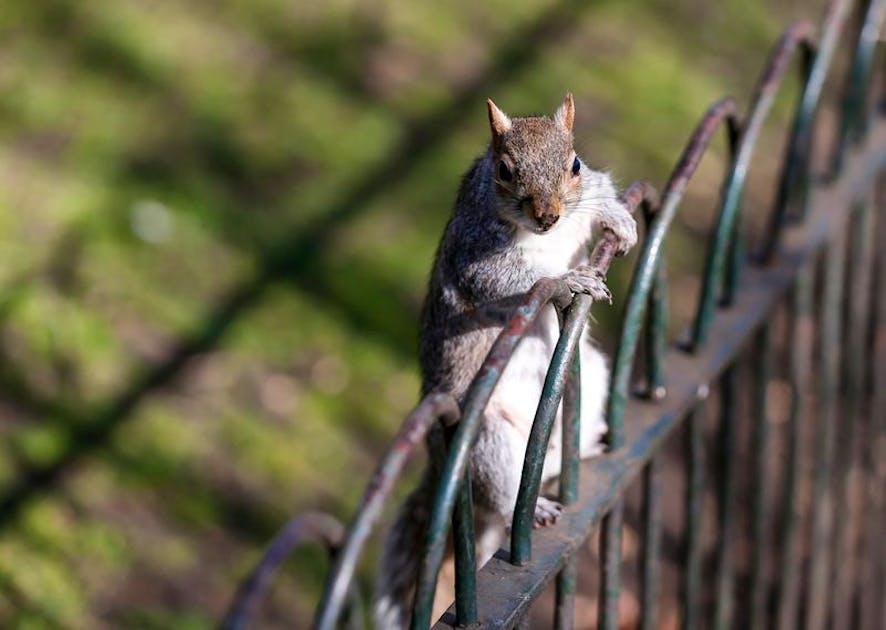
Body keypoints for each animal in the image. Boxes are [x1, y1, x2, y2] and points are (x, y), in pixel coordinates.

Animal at [374, 93, 637, 629]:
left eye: (575, 164)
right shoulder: (478, 252)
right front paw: (571, 277)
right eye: (504, 170)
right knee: (503, 490)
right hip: (487, 439)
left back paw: (588, 447)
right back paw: (533, 508)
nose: (548, 216)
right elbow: (511, 277)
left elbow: (601, 192)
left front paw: (620, 220)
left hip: (594, 376)